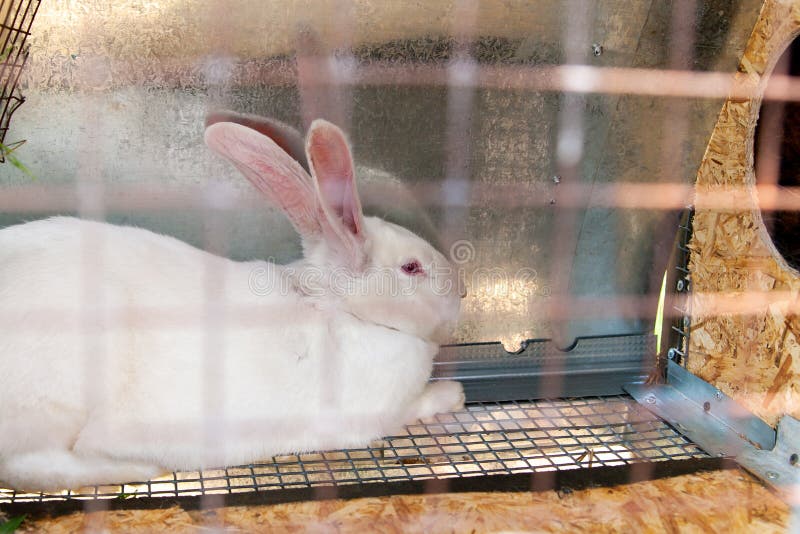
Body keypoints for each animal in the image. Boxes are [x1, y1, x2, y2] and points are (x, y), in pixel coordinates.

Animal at [0, 117, 464, 492]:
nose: (460, 293)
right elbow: (418, 406)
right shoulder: (377, 414)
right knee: (34, 466)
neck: (338, 310)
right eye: (411, 267)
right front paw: (454, 395)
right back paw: (135, 468)